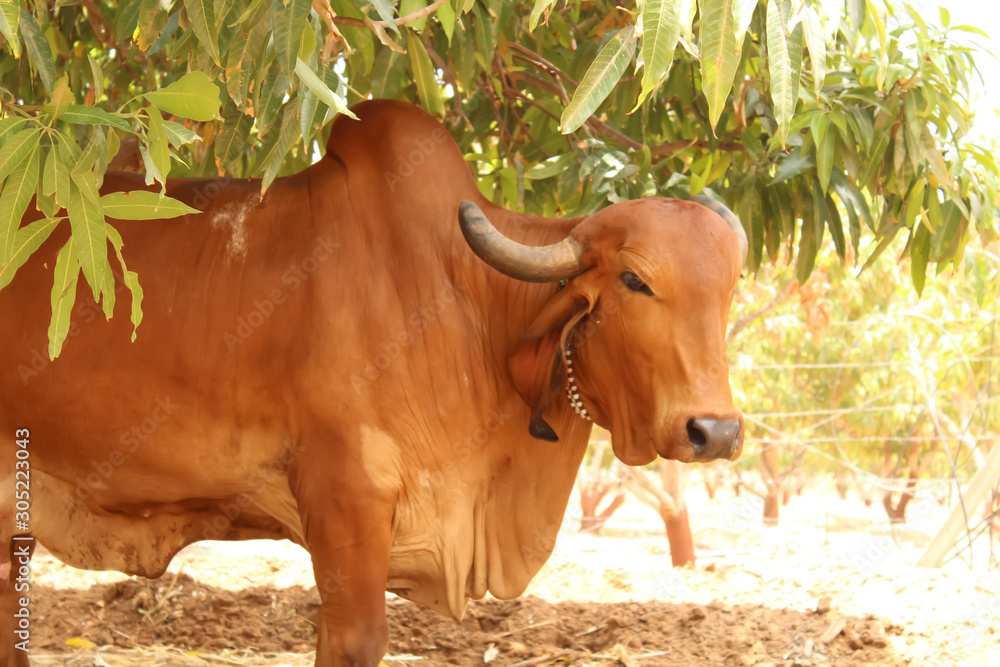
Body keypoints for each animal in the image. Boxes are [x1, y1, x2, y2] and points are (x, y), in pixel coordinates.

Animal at [0, 99, 746, 667]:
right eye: (634, 280)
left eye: (731, 288)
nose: (714, 431)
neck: (464, 300)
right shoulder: (345, 499)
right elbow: (355, 642)